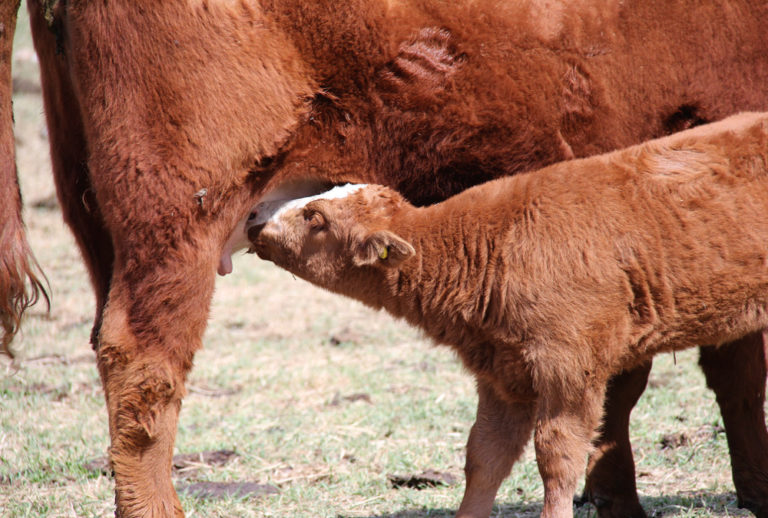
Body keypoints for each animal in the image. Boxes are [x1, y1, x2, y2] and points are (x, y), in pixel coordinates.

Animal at [247, 112, 768, 518]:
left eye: (315, 217)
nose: (252, 217)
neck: (491, 245)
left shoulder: (571, 372)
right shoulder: (502, 376)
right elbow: (484, 458)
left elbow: (558, 457)